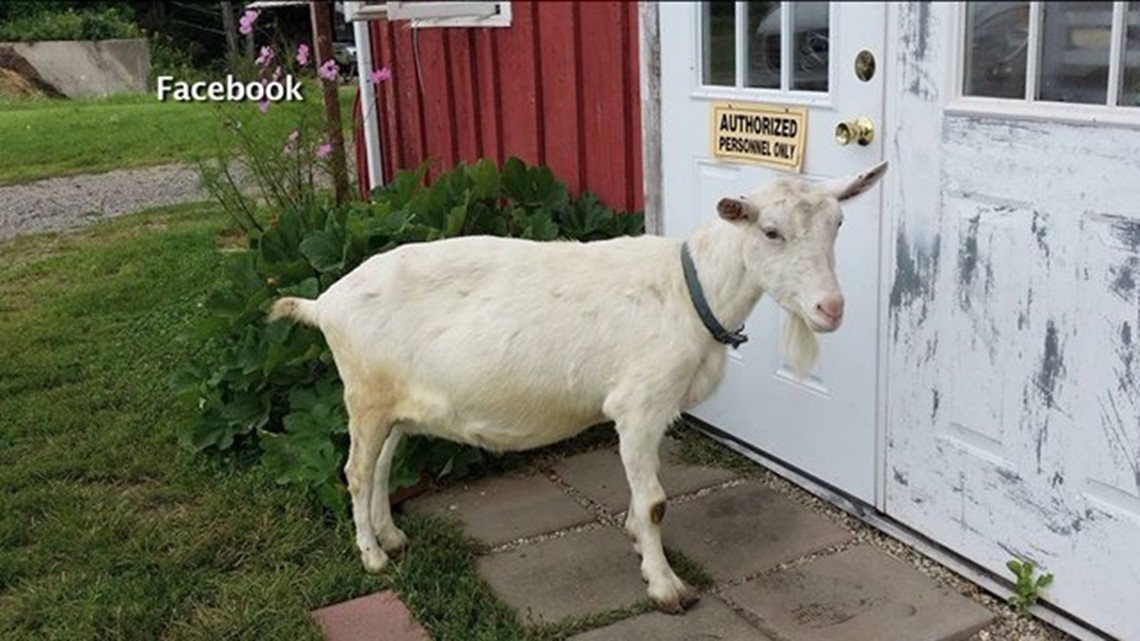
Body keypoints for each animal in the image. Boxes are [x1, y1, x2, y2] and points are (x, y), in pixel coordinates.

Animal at [268, 161, 888, 613]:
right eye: (770, 231)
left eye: (838, 224)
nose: (830, 308)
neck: (690, 291)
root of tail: (326, 303)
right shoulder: (638, 404)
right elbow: (657, 502)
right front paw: (667, 587)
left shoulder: (653, 413)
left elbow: (644, 496)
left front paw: (637, 542)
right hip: (365, 392)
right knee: (354, 471)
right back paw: (372, 557)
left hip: (397, 401)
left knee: (379, 469)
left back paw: (392, 538)